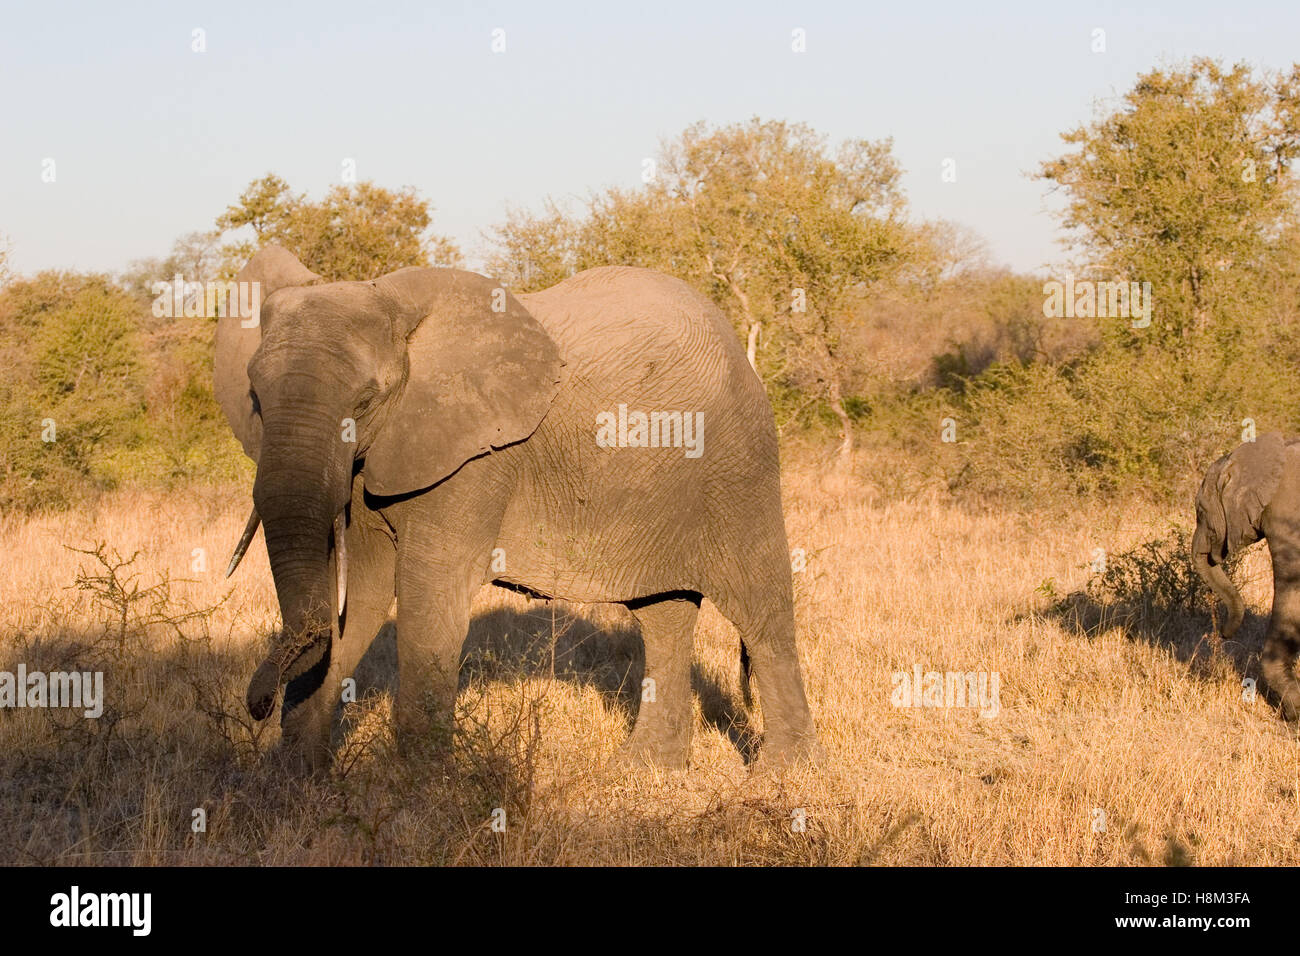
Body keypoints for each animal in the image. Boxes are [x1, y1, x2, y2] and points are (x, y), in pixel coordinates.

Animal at [214, 245, 820, 772]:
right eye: (255, 399)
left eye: (365, 401)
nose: (256, 703)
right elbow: (363, 594)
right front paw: (298, 782)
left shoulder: (478, 457)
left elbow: (427, 592)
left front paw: (417, 793)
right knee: (663, 613)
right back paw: (646, 768)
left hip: (738, 463)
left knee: (760, 606)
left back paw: (779, 775)